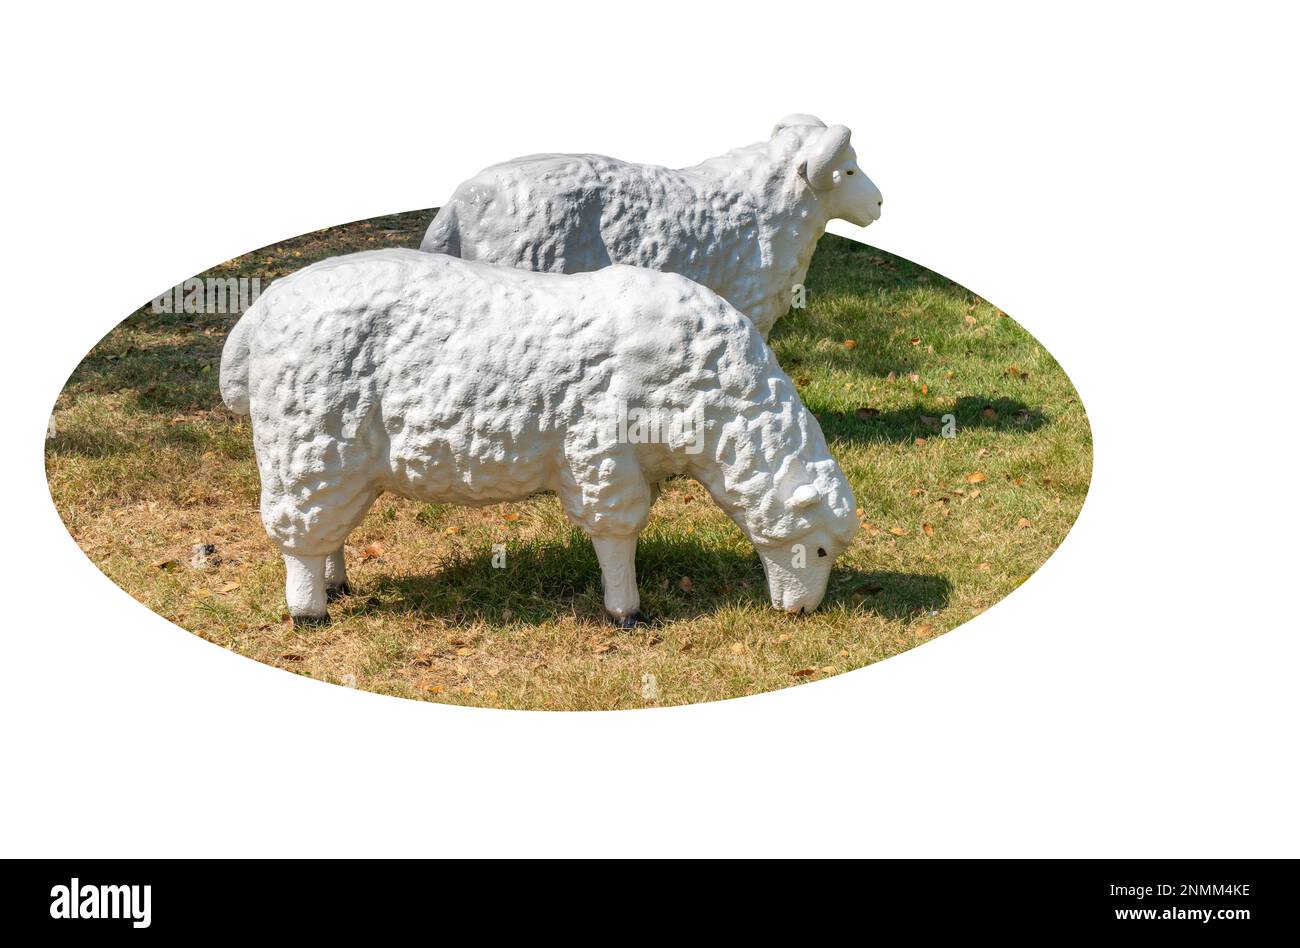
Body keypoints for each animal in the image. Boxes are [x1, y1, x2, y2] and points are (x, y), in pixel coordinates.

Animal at [219, 248, 859, 625]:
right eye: (819, 549)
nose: (802, 611)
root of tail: (258, 314)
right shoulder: (602, 453)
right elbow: (616, 533)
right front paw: (626, 611)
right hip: (304, 438)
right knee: (299, 534)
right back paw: (309, 610)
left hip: (330, 454)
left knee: (326, 529)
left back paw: (337, 583)